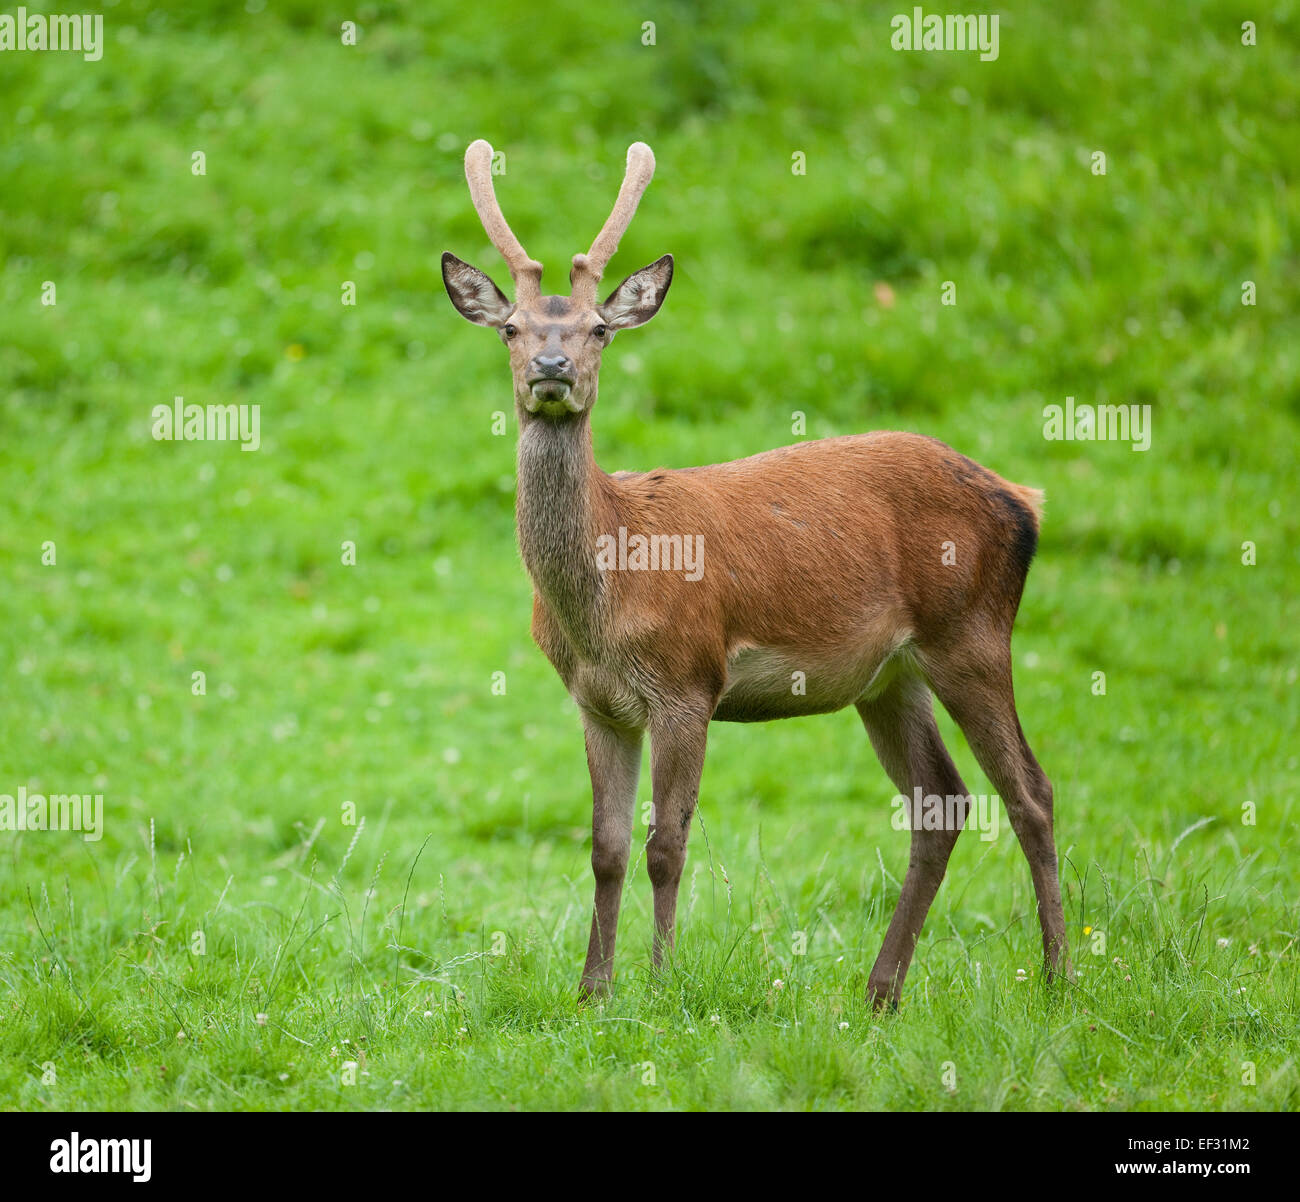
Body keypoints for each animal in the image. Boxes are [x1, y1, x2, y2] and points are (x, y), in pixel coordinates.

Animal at [442, 139, 1072, 1008]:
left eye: (600, 328)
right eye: (510, 326)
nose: (551, 367)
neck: (604, 595)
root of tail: (1025, 500)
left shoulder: (688, 680)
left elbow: (665, 845)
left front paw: (663, 984)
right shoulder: (597, 702)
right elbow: (604, 847)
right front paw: (592, 992)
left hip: (971, 633)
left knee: (1031, 792)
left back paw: (1057, 977)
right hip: (889, 676)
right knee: (941, 801)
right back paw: (881, 991)